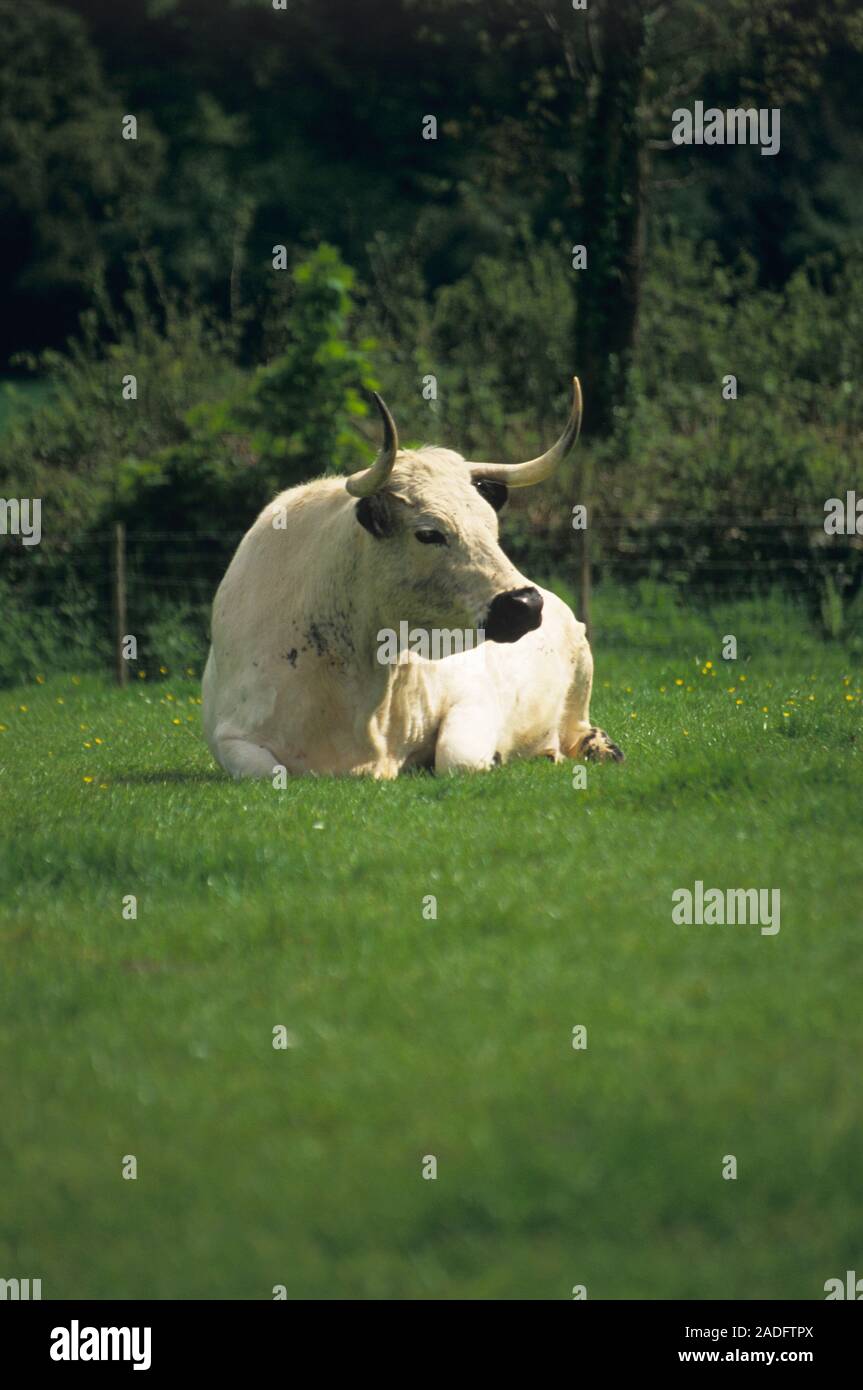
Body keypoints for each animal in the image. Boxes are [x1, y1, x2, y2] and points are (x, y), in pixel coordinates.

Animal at [202, 378, 623, 778]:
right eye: (429, 533)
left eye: (491, 525)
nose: (524, 603)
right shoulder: (231, 737)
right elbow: (266, 770)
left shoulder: (472, 694)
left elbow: (456, 757)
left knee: (575, 729)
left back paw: (599, 747)